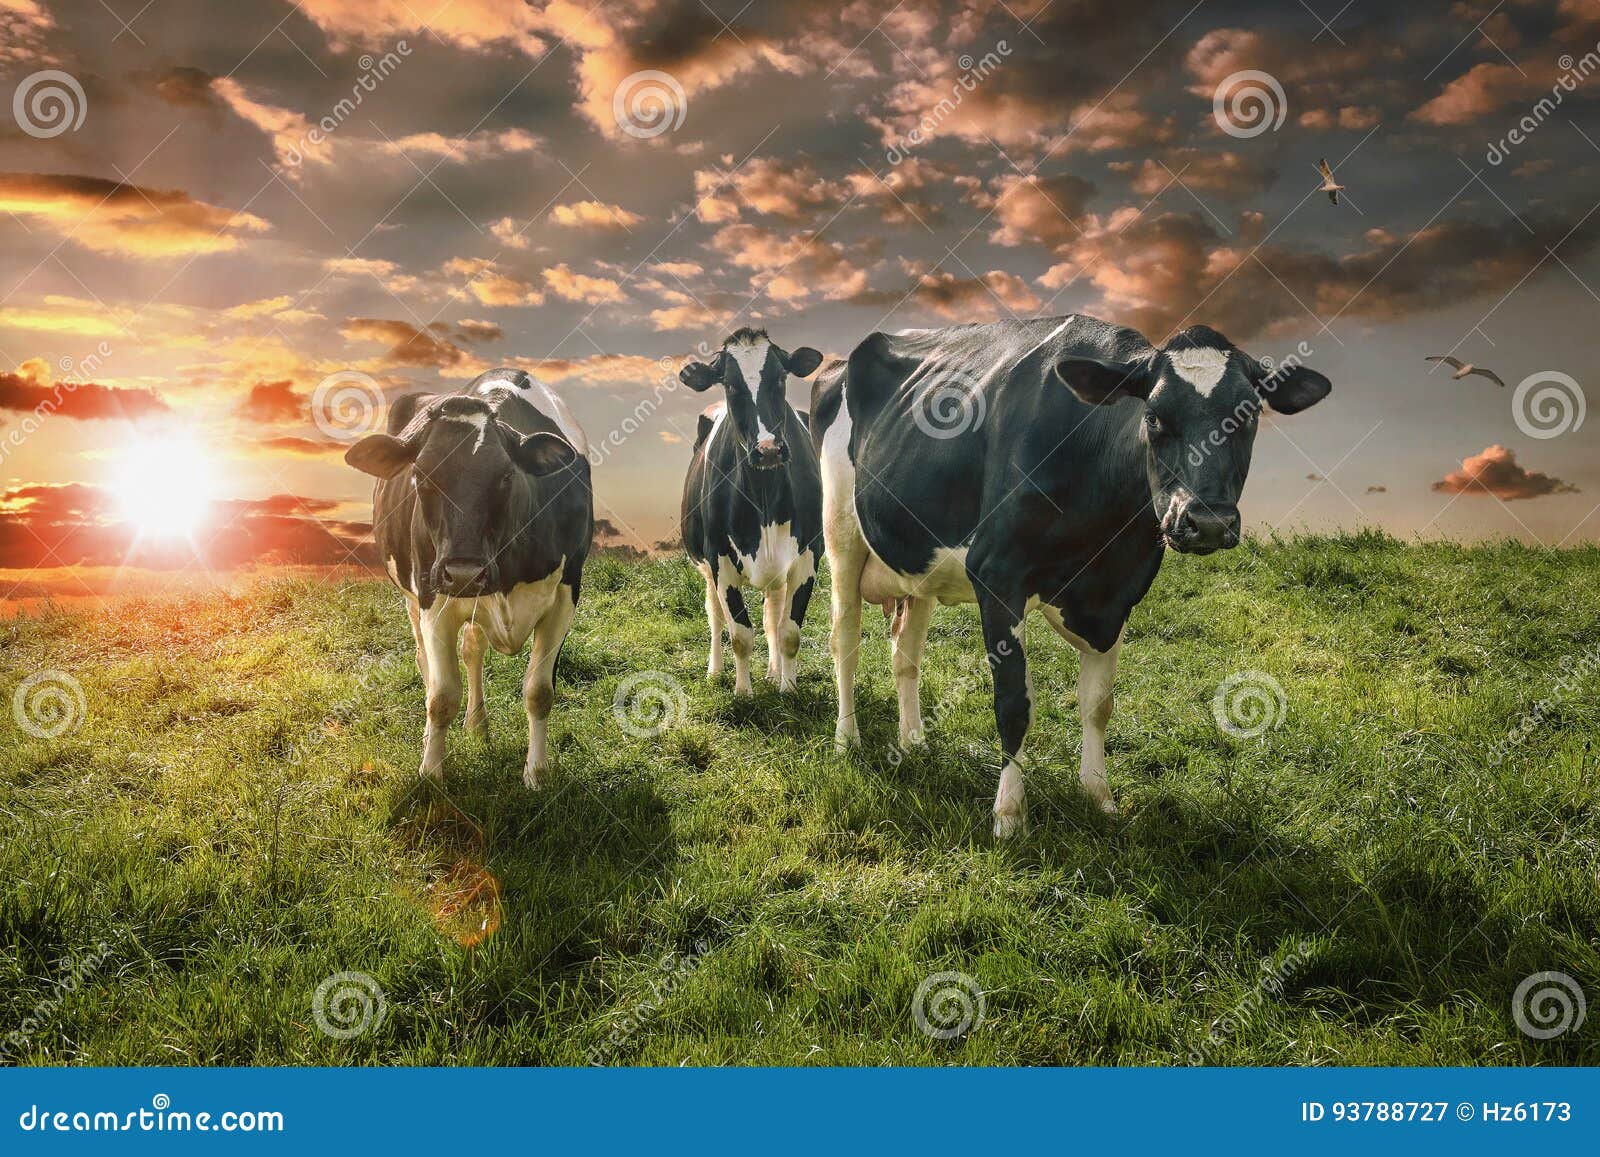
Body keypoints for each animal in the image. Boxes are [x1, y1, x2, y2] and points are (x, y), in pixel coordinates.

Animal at [344, 368, 594, 787]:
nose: (463, 571)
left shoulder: (565, 595)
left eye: (506, 475)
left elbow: (539, 692)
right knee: (426, 663)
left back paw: (477, 723)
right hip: (414, 597)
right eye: (421, 475)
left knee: (473, 650)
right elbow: (442, 696)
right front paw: (431, 774)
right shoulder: (433, 599)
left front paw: (537, 773)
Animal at [679, 327, 825, 694]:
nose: (768, 449)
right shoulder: (718, 557)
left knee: (772, 614)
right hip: (705, 566)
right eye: (730, 385)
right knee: (715, 615)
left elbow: (789, 631)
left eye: (781, 377)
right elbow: (740, 634)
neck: (765, 497)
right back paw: (716, 671)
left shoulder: (808, 553)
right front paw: (743, 692)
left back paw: (775, 673)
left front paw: (789, 688)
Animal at [811, 315, 1331, 837]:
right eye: (1154, 417)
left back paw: (914, 741)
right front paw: (1009, 814)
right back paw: (846, 740)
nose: (1205, 522)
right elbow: (1014, 703)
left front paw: (1098, 796)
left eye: (1250, 415)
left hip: (918, 565)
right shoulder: (998, 575)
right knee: (845, 641)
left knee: (905, 654)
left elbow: (1098, 704)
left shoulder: (1116, 595)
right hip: (841, 534)